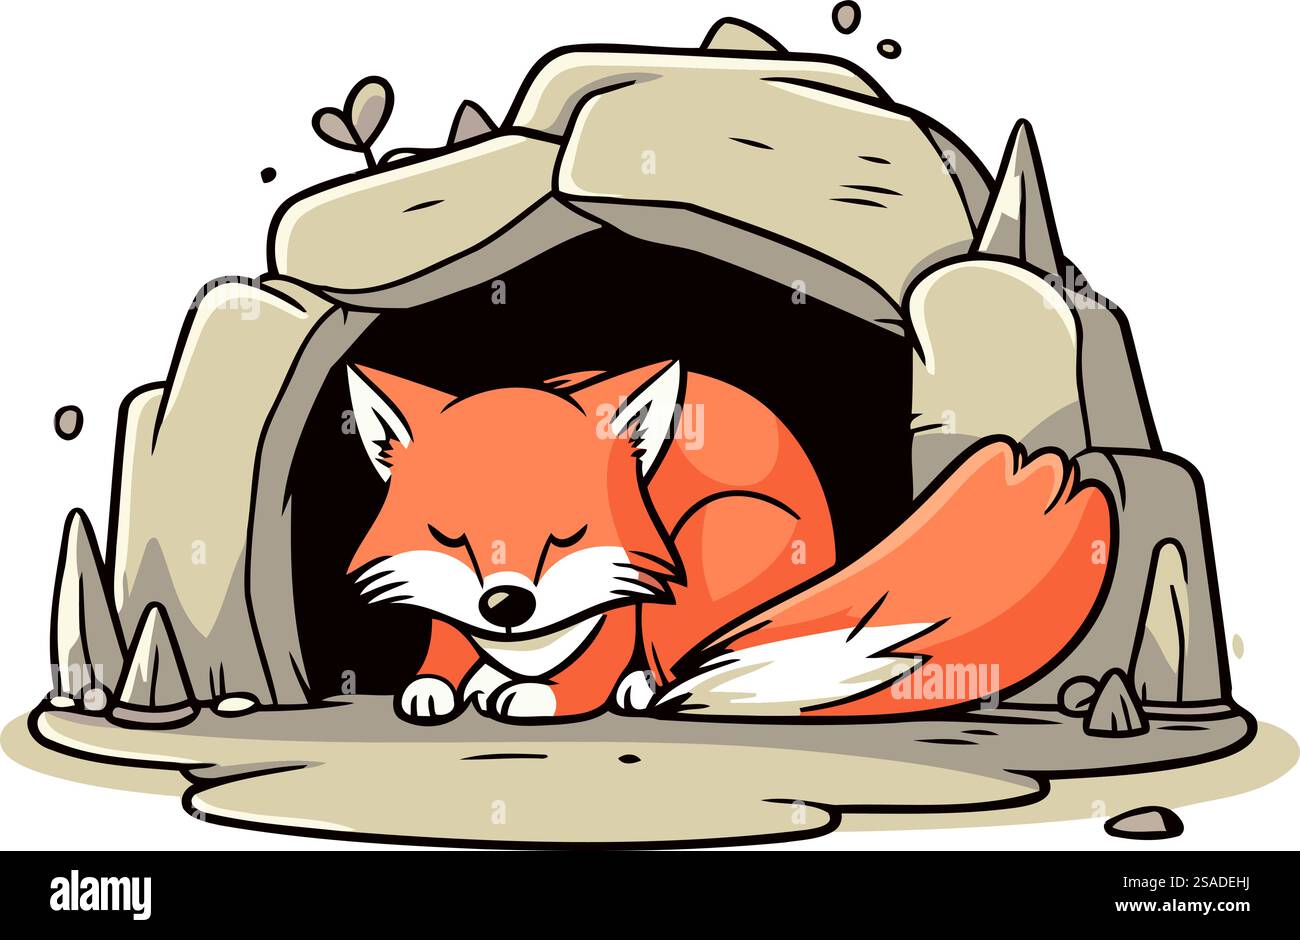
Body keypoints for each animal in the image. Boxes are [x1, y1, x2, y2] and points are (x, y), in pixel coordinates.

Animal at [346, 360, 1112, 722]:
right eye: (450, 536)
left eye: (568, 536)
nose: (507, 604)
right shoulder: (450, 609)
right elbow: (442, 650)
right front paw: (435, 686)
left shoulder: (628, 605)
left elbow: (581, 678)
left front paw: (543, 697)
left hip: (709, 535)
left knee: (674, 670)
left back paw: (636, 690)